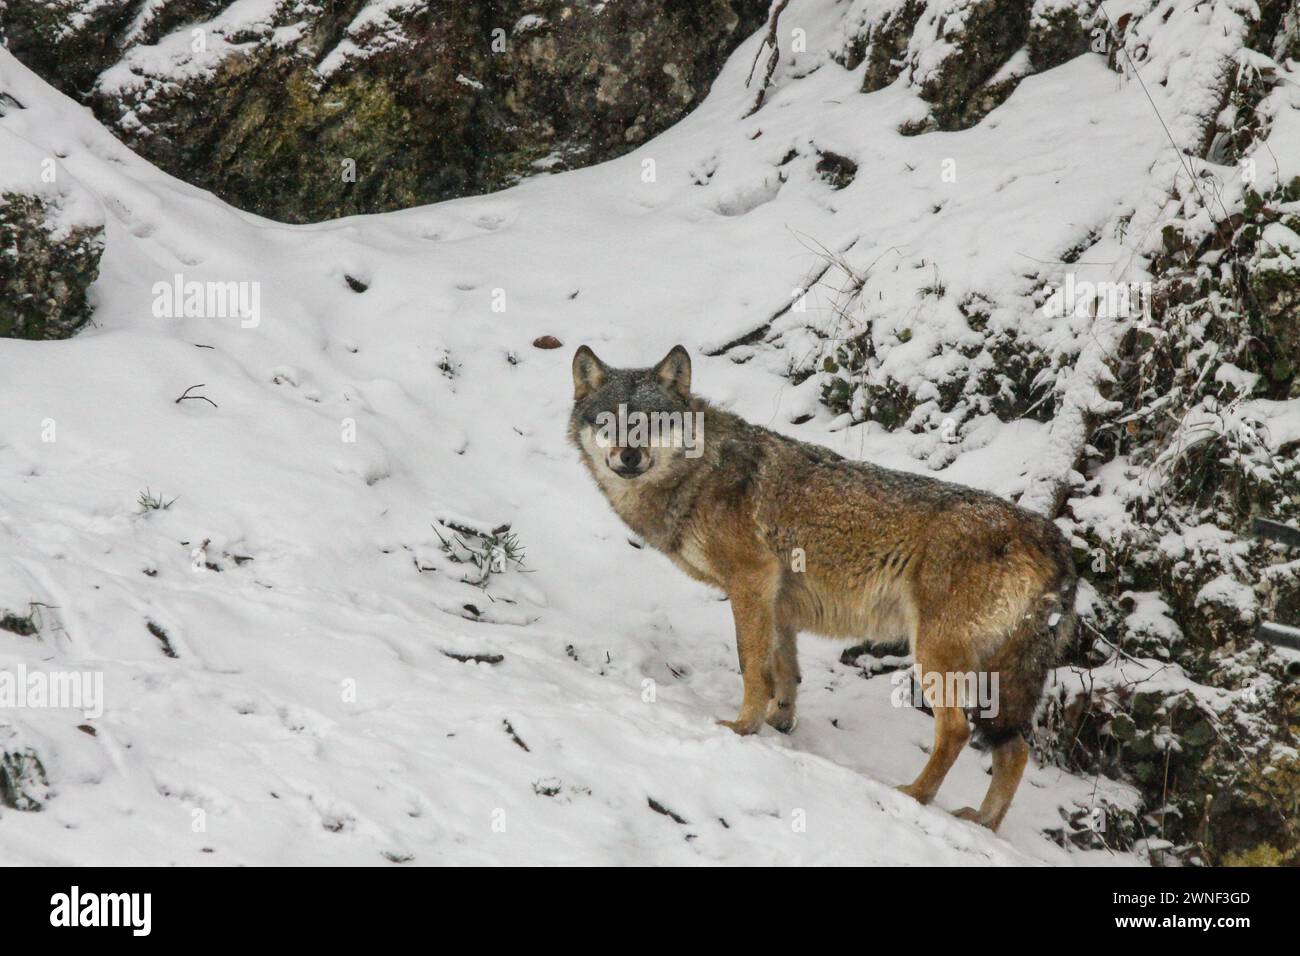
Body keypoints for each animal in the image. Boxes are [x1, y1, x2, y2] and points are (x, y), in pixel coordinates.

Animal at [569, 345, 1077, 831]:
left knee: (956, 731)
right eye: (608, 421)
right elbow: (784, 671)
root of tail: (1050, 536)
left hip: (934, 653)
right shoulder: (777, 600)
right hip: (993, 675)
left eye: (652, 422)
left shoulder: (751, 581)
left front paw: (741, 727)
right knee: (1016, 750)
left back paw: (914, 795)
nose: (629, 457)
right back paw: (983, 822)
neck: (699, 475)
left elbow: (752, 667)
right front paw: (779, 723)